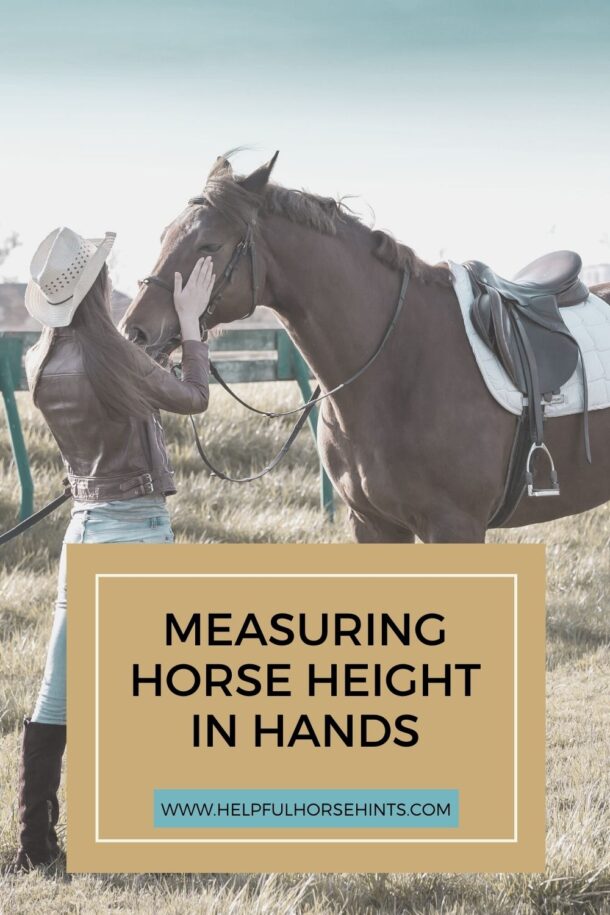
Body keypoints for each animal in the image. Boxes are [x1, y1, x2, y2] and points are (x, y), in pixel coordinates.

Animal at [120, 153, 610, 543]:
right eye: (165, 235)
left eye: (210, 244)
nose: (136, 332)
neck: (400, 363)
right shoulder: (373, 524)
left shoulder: (455, 527)